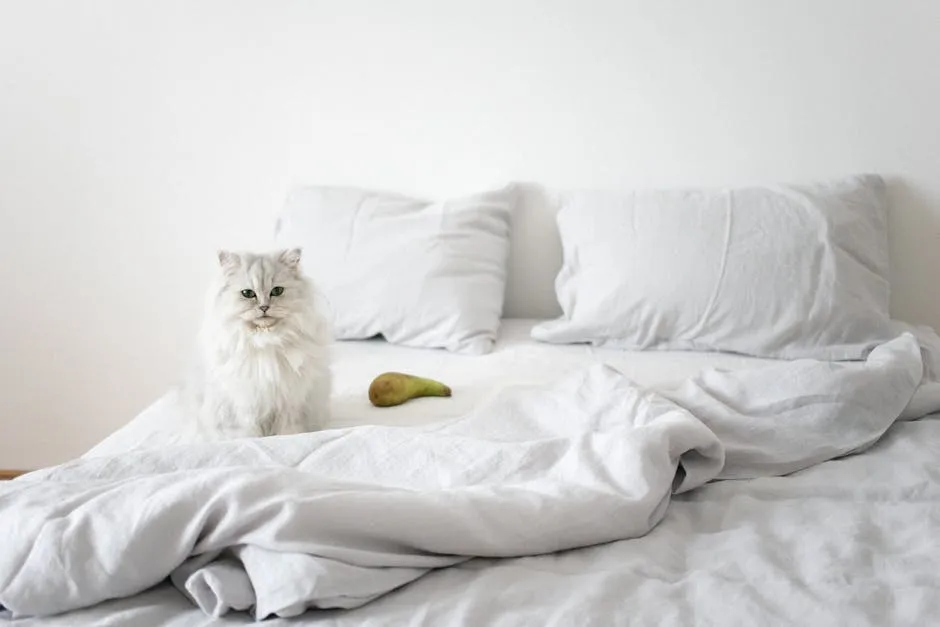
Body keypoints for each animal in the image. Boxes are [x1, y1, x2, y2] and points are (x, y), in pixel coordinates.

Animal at [182, 248, 332, 440]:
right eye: (248, 293)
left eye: (277, 291)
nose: (264, 307)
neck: (265, 339)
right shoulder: (246, 401)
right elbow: (249, 431)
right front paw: (251, 439)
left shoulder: (290, 400)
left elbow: (288, 429)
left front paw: (287, 437)